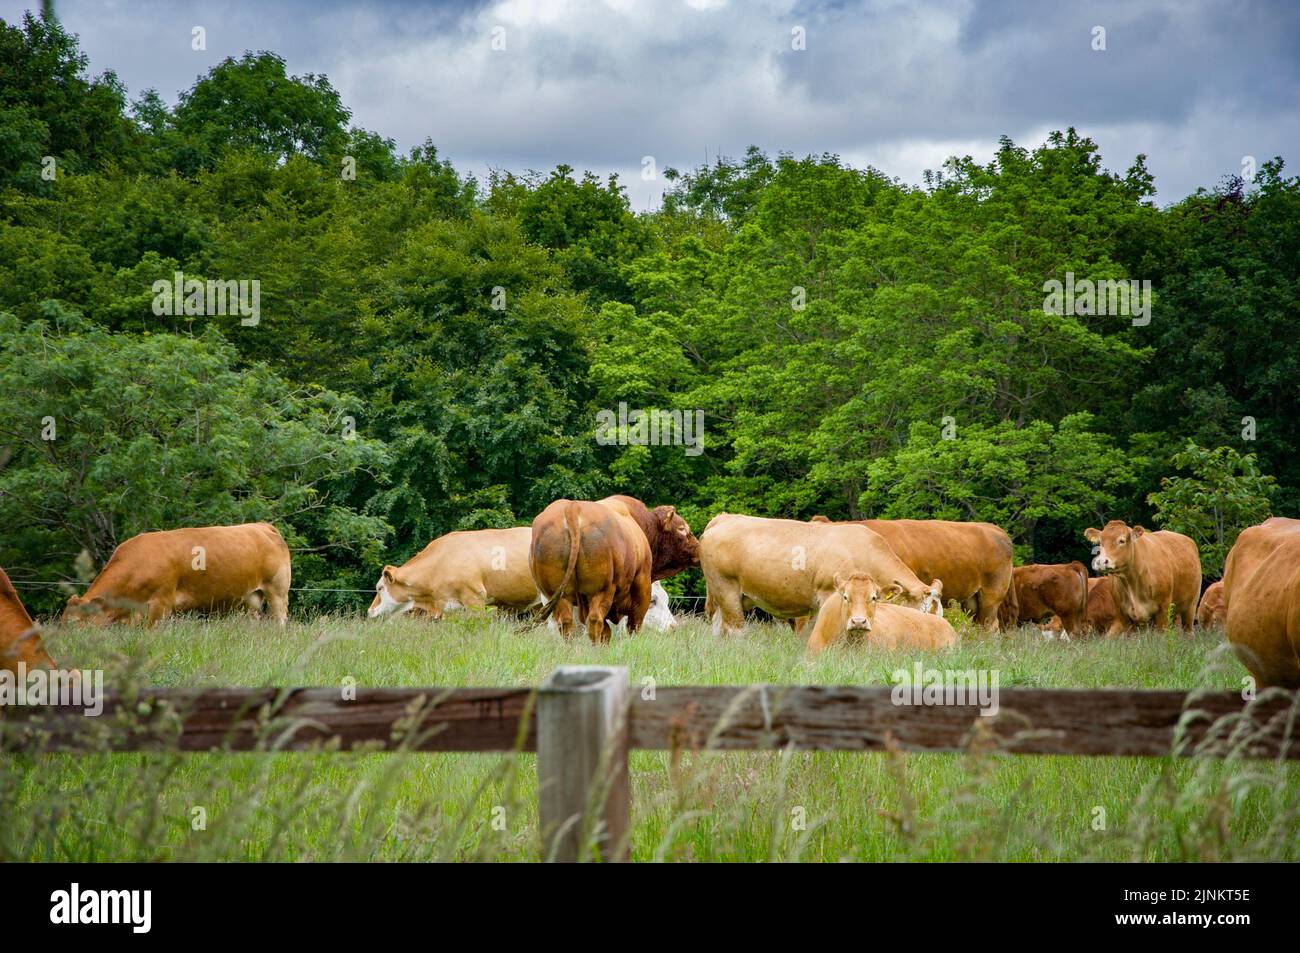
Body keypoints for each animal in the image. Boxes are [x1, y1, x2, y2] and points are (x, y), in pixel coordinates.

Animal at [64, 523, 292, 627]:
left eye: (73, 622)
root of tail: (262, 525)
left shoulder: (161, 604)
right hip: (250, 599)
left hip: (278, 592)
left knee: (280, 621)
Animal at [530, 495, 699, 643]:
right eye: (682, 528)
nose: (673, 627)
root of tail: (573, 508)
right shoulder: (642, 585)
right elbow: (632, 625)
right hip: (602, 591)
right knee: (595, 620)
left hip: (558, 596)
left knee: (566, 623)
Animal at [700, 513, 942, 650]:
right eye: (923, 613)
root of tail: (725, 518)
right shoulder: (828, 594)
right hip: (726, 589)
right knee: (735, 630)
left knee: (718, 627)